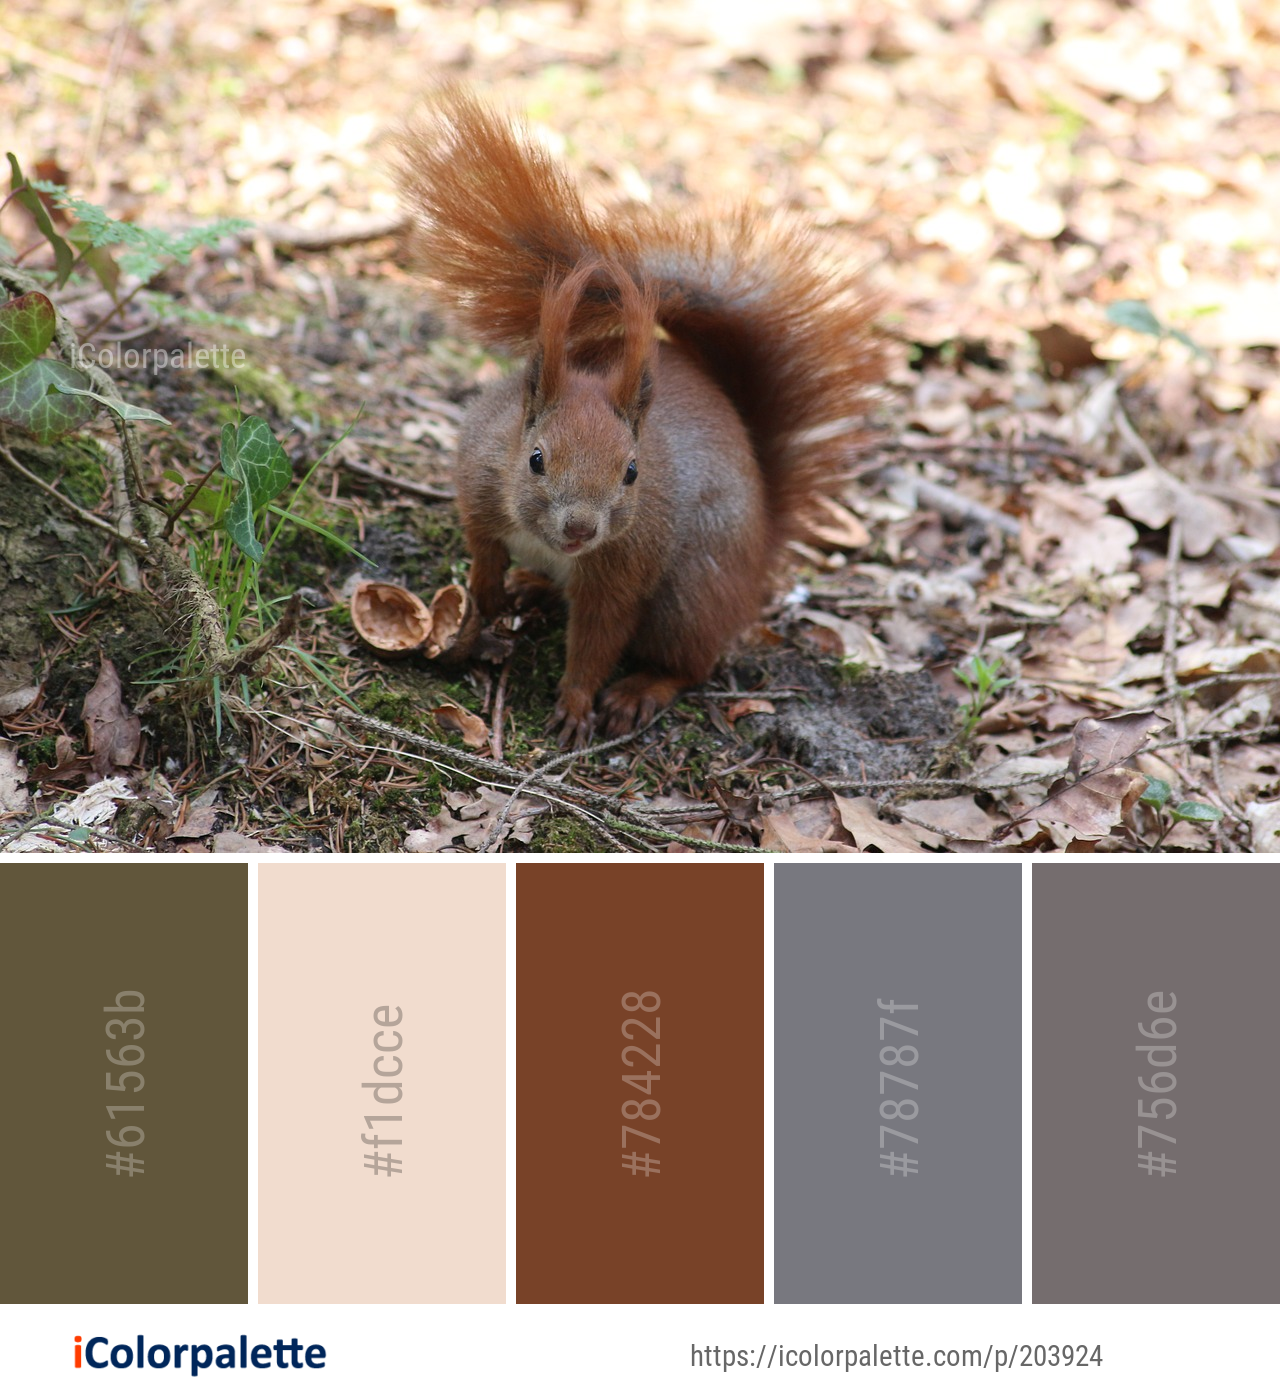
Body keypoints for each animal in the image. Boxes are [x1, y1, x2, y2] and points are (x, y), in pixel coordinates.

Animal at [391, 88, 884, 748]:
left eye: (632, 472)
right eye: (536, 458)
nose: (580, 529)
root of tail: (760, 556)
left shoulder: (623, 568)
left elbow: (599, 639)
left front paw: (577, 703)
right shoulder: (479, 476)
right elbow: (482, 545)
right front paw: (487, 592)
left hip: (690, 596)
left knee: (691, 664)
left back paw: (640, 690)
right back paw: (530, 585)